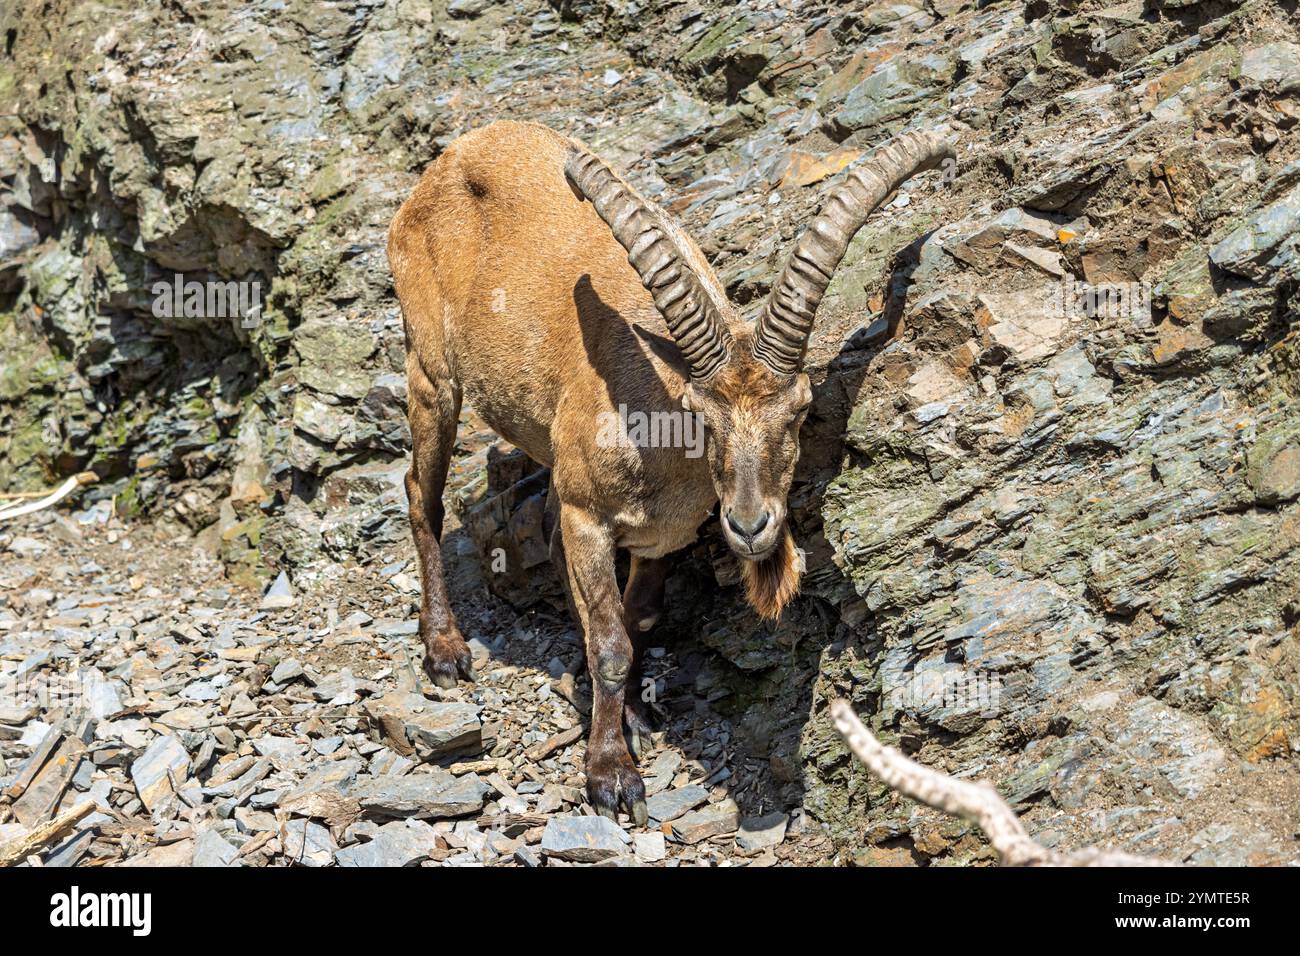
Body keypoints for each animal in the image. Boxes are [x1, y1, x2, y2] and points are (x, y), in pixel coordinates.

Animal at [387, 121, 953, 822]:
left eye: (798, 411)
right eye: (700, 414)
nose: (750, 526)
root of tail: (451, 158)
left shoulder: (661, 537)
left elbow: (637, 622)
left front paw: (625, 714)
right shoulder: (588, 516)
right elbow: (611, 645)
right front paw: (611, 776)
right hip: (431, 370)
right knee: (422, 494)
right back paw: (444, 648)